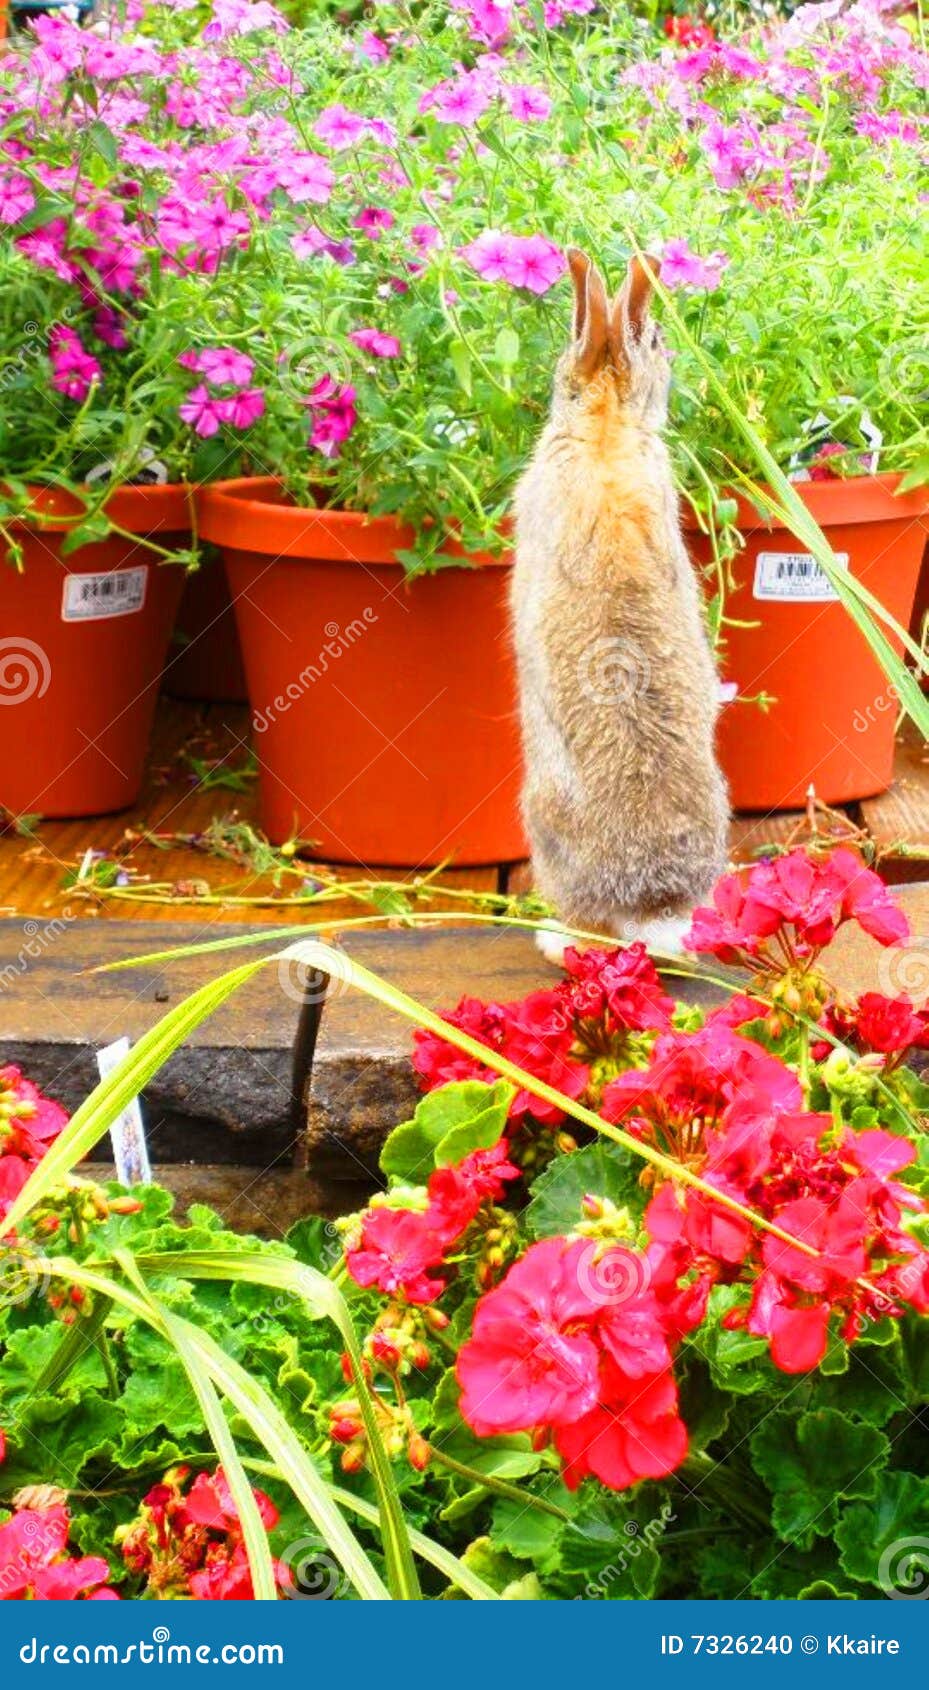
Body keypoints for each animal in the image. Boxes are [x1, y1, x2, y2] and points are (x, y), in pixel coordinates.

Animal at [510, 247, 729, 961]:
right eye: (660, 343)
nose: (675, 364)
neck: (605, 425)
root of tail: (649, 908)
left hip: (541, 817)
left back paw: (552, 940)